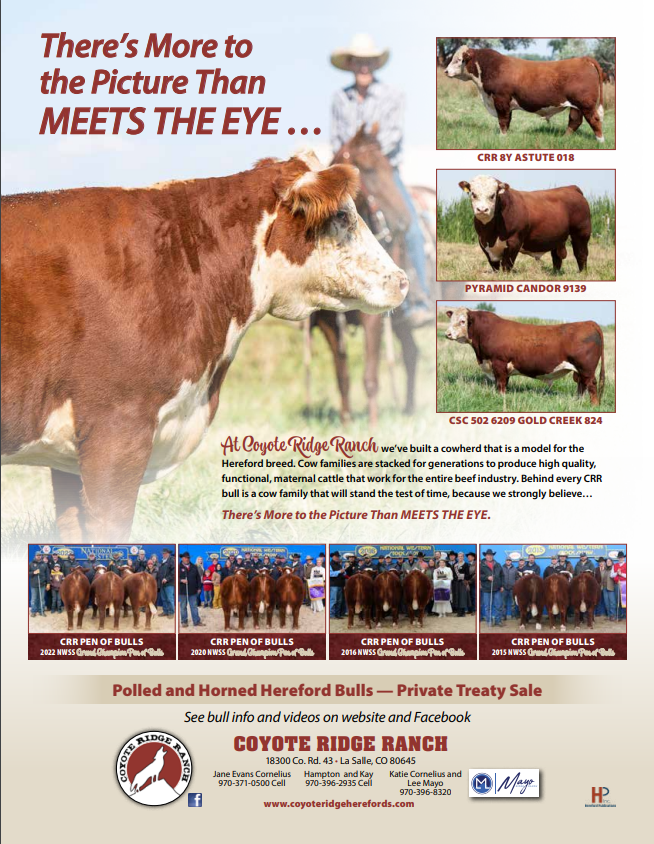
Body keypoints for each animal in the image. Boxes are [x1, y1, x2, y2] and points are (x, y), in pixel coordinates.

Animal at [445, 46, 605, 141]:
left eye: (458, 60)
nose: (446, 71)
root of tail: (584, 59)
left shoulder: (501, 99)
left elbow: (502, 120)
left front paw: (502, 137)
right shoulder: (506, 103)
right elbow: (507, 120)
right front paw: (505, 136)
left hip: (586, 104)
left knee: (594, 120)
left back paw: (600, 141)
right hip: (576, 105)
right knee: (574, 121)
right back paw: (563, 139)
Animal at [445, 308, 606, 406]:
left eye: (462, 321)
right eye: (451, 320)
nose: (447, 334)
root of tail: (590, 323)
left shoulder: (499, 362)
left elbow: (500, 383)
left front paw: (500, 398)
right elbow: (504, 382)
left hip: (586, 368)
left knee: (591, 385)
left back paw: (593, 405)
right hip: (580, 370)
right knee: (582, 385)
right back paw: (577, 402)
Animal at [458, 176, 592, 273]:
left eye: (492, 195)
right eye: (473, 194)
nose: (482, 209)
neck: (491, 234)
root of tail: (572, 188)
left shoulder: (514, 241)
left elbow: (507, 264)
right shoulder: (483, 242)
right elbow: (494, 265)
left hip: (581, 233)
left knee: (581, 254)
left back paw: (582, 273)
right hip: (557, 238)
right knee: (556, 258)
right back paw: (555, 273)